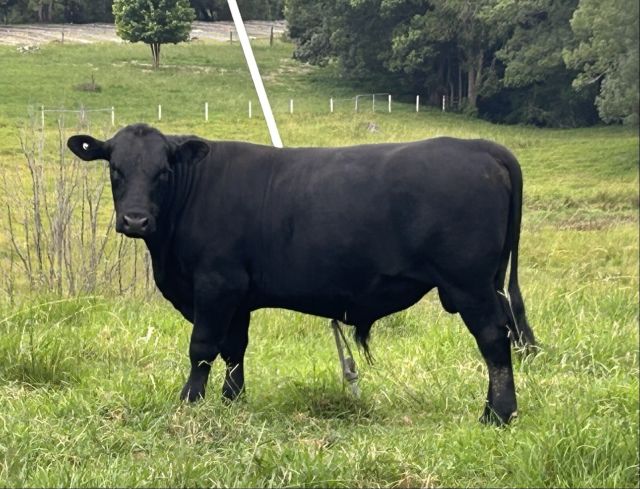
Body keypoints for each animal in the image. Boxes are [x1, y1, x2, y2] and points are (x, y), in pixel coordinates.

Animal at [67, 123, 536, 425]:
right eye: (115, 169)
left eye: (162, 172)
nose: (135, 220)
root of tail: (484, 147)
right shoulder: (238, 294)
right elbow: (234, 350)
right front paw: (232, 403)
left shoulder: (216, 284)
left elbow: (201, 347)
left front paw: (189, 404)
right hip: (487, 284)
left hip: (469, 285)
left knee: (494, 340)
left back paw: (497, 415)